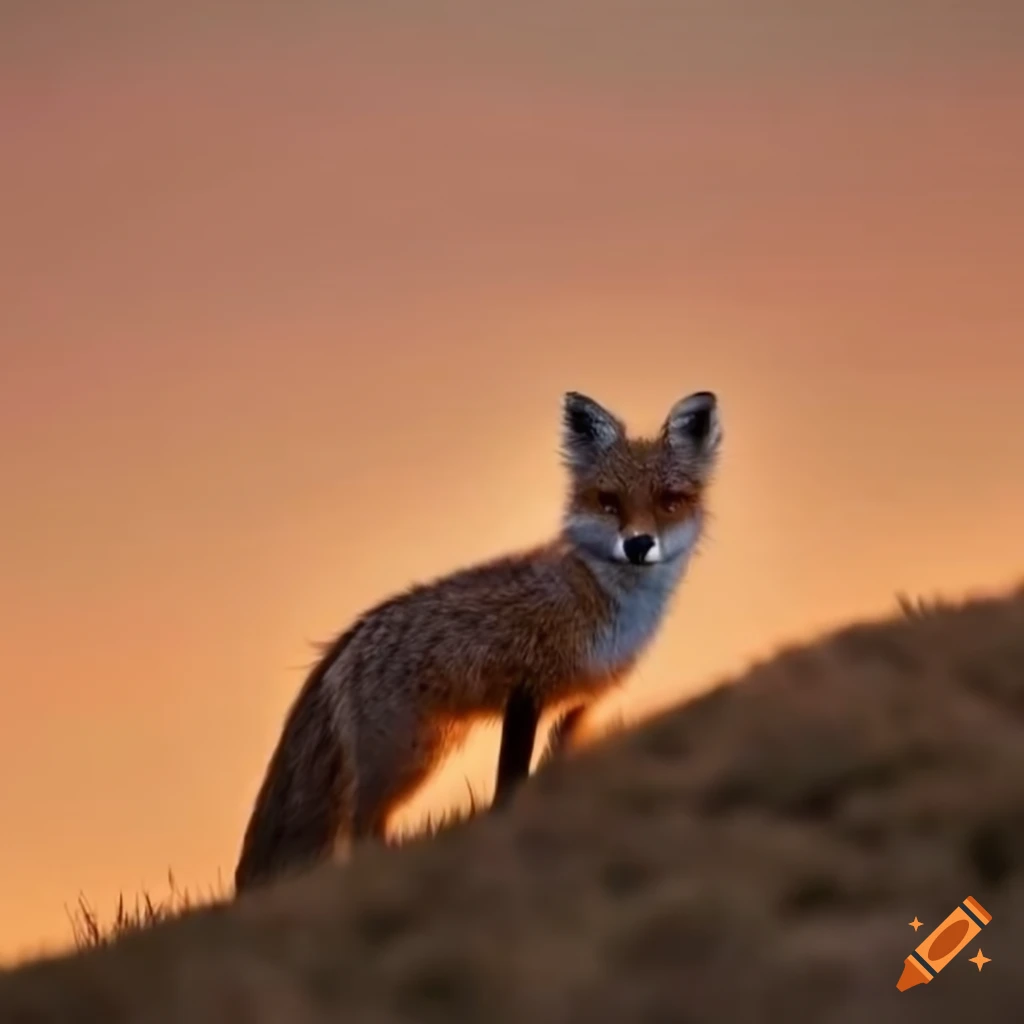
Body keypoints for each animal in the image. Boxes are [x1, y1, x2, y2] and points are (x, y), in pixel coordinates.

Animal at [233, 389, 722, 894]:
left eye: (669, 501)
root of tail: (352, 636)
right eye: (609, 502)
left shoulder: (579, 703)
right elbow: (509, 782)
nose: (639, 544)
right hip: (403, 760)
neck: (607, 603)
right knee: (359, 833)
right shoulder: (526, 688)